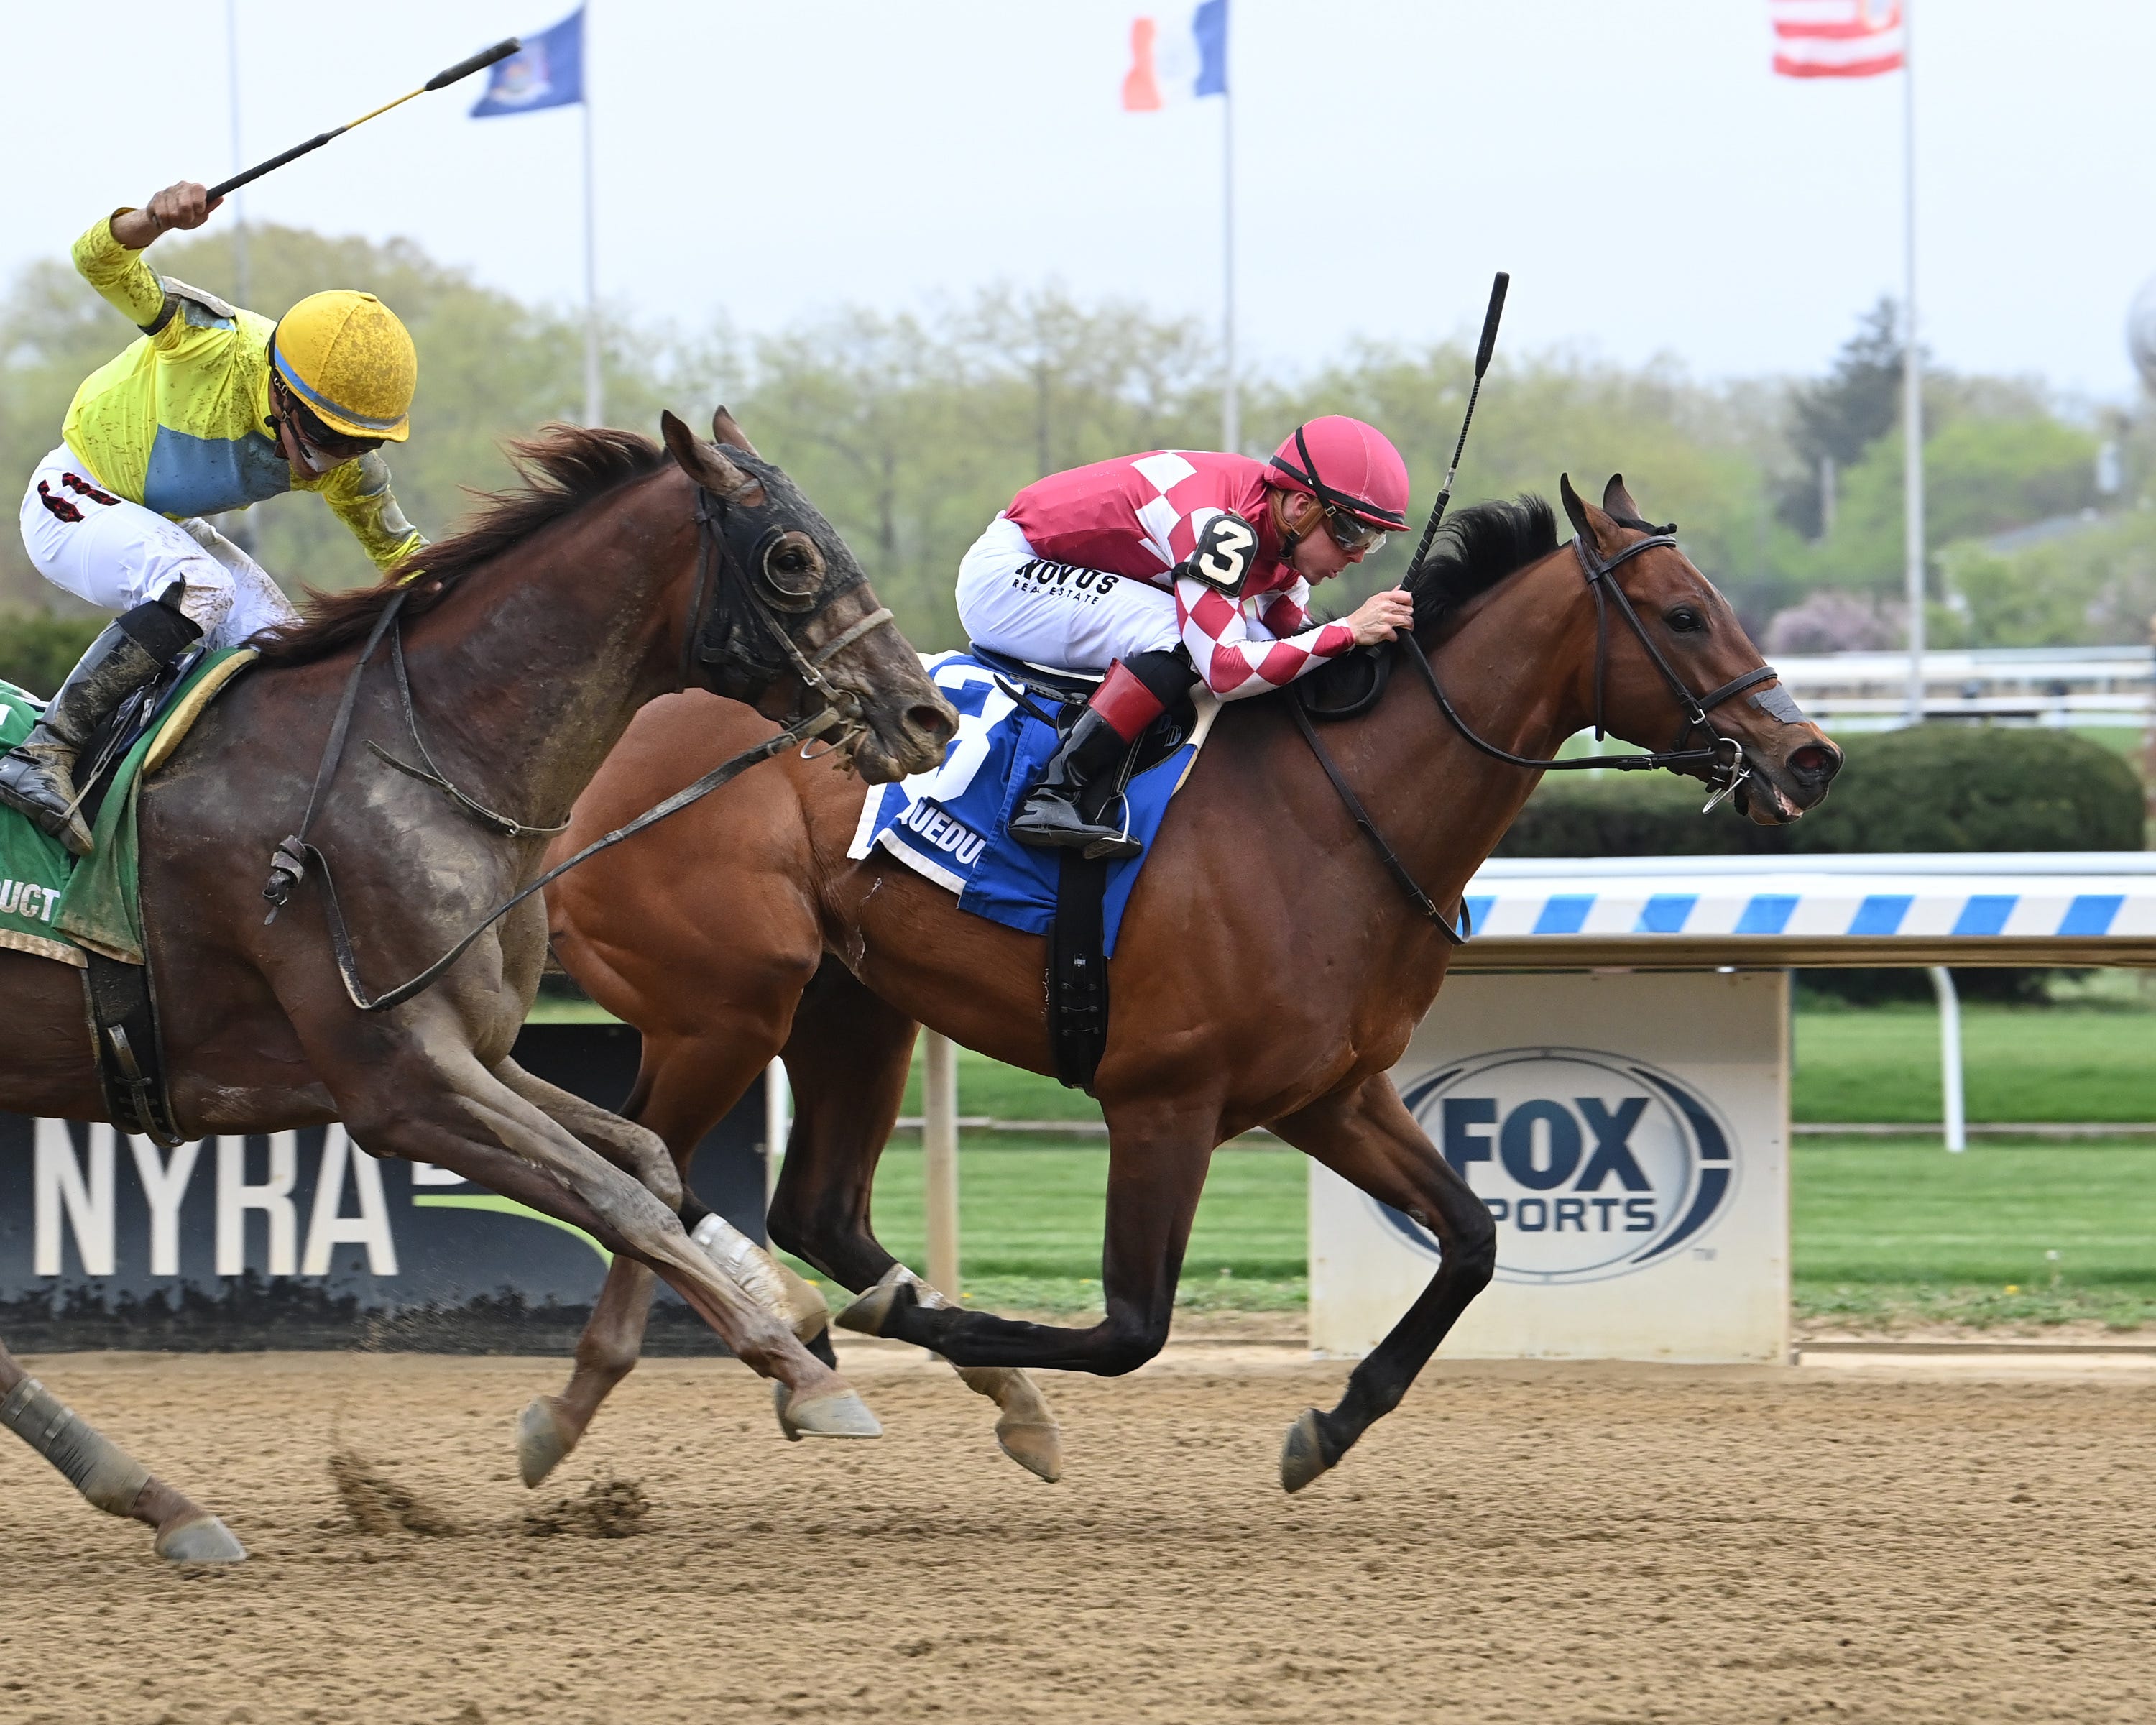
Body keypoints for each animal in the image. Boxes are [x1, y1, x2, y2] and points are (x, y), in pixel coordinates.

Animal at [0, 409, 957, 1560]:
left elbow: (646, 1161)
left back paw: (158, 1500)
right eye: (792, 557)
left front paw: (778, 1321)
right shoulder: (399, 1085)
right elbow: (619, 1199)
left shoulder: (484, 1053)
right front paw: (803, 1372)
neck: (411, 769)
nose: (928, 716)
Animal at [536, 473, 1843, 1494]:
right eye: (1686, 613)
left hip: (851, 1006)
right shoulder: (1162, 1101)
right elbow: (1130, 1330)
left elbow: (1473, 1241)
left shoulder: (1330, 1093)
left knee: (806, 1207)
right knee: (636, 1169)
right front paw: (913, 1323)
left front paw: (1330, 1426)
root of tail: (604, 764)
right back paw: (623, 1387)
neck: (1336, 816)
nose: (1812, 757)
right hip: (727, 1007)